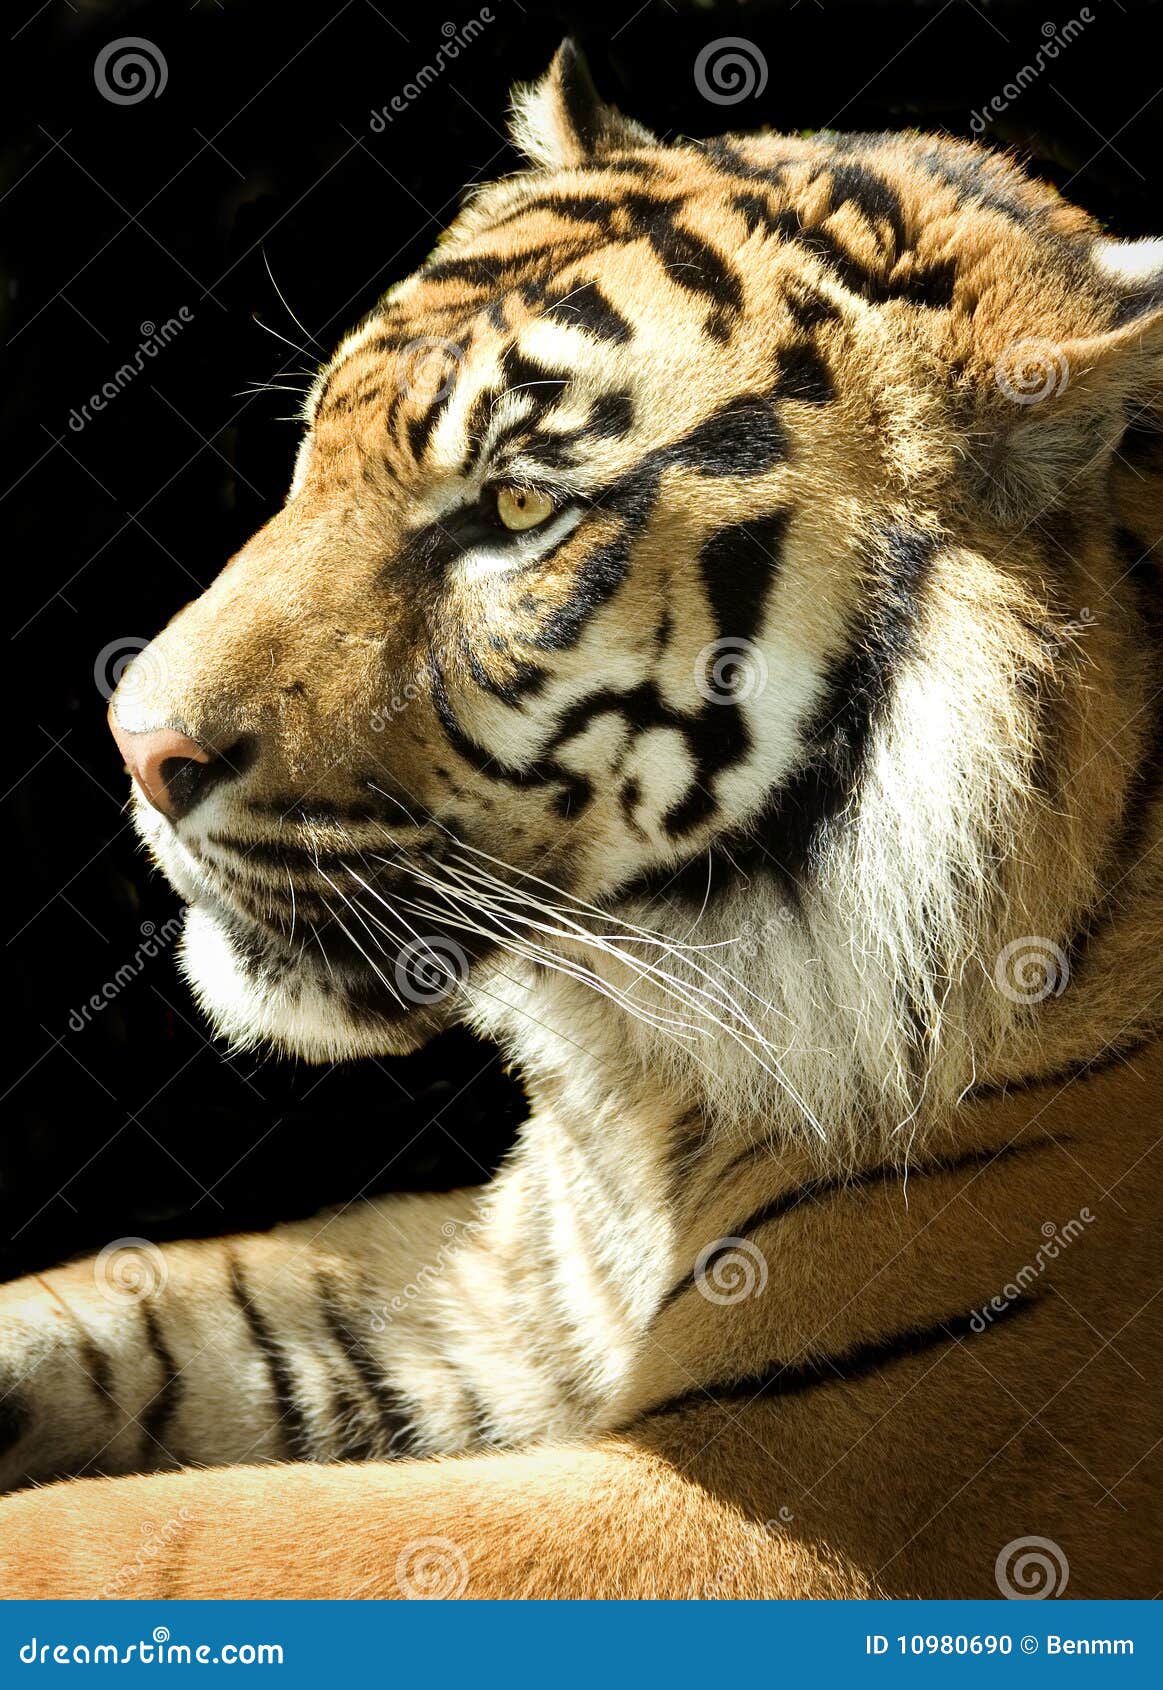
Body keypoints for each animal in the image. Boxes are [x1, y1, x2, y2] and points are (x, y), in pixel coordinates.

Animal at [1, 40, 1160, 1601]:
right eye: (317, 446)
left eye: (513, 509)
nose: (136, 745)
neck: (646, 1088)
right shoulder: (499, 1293)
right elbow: (140, 1306)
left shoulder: (789, 1493)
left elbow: (158, 1533)